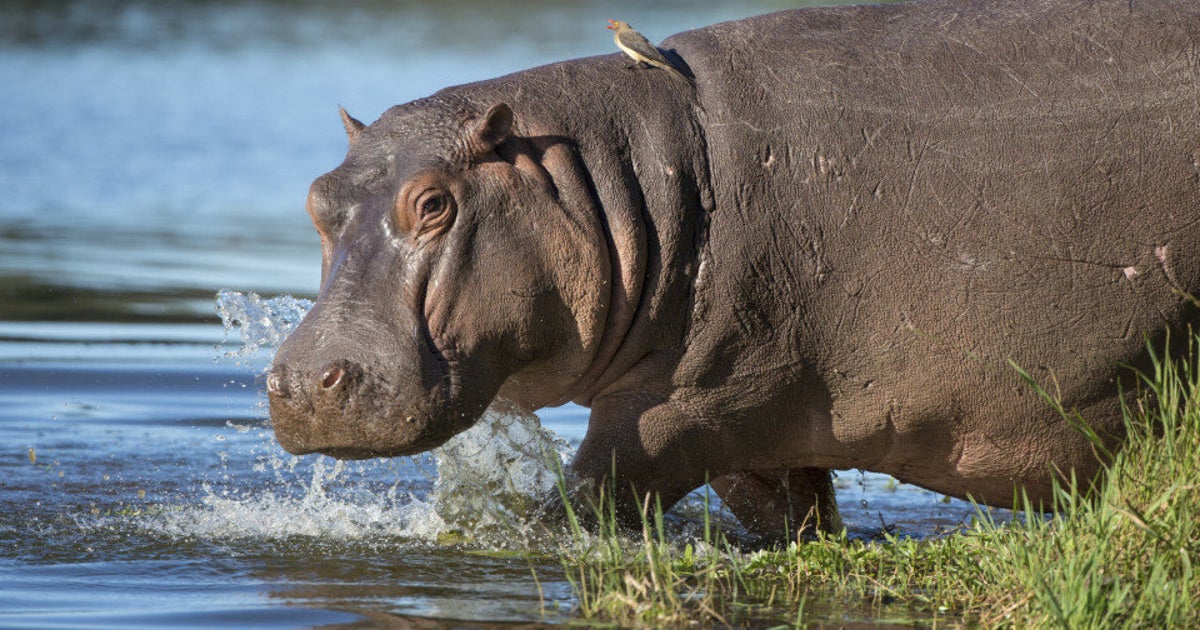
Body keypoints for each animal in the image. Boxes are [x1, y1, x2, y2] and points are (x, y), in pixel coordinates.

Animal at [267, 0, 1200, 540]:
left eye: (433, 202)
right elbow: (792, 515)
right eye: (315, 197)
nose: (307, 380)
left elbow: (583, 500)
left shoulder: (682, 409)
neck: (613, 176)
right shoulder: (761, 421)